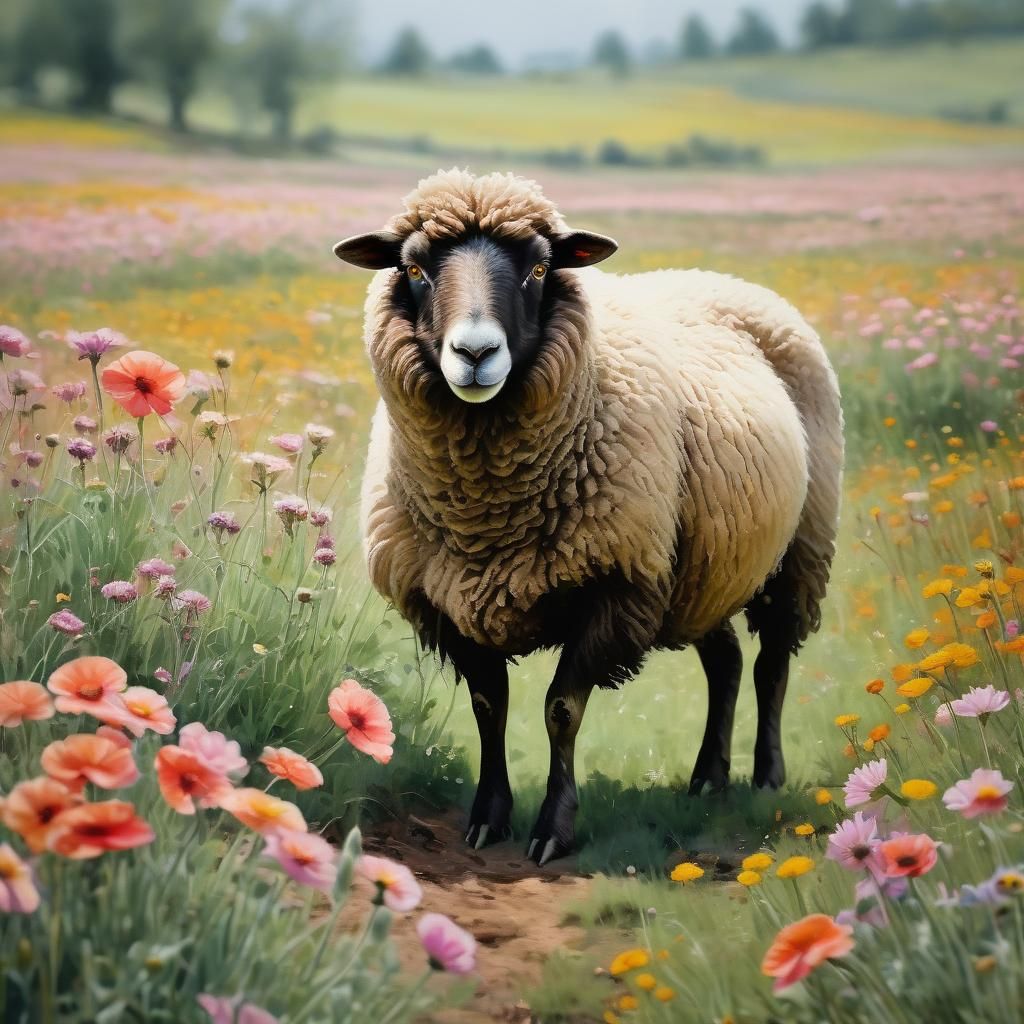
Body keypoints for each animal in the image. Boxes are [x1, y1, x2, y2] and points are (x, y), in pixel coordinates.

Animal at [334, 168, 844, 866]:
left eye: (539, 268)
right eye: (413, 268)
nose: (475, 352)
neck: (485, 512)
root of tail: (722, 279)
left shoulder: (616, 585)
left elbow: (560, 710)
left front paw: (554, 828)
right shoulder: (446, 602)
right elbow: (489, 707)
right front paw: (488, 817)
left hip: (796, 552)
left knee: (771, 664)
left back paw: (765, 778)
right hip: (699, 564)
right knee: (727, 663)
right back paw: (707, 780)